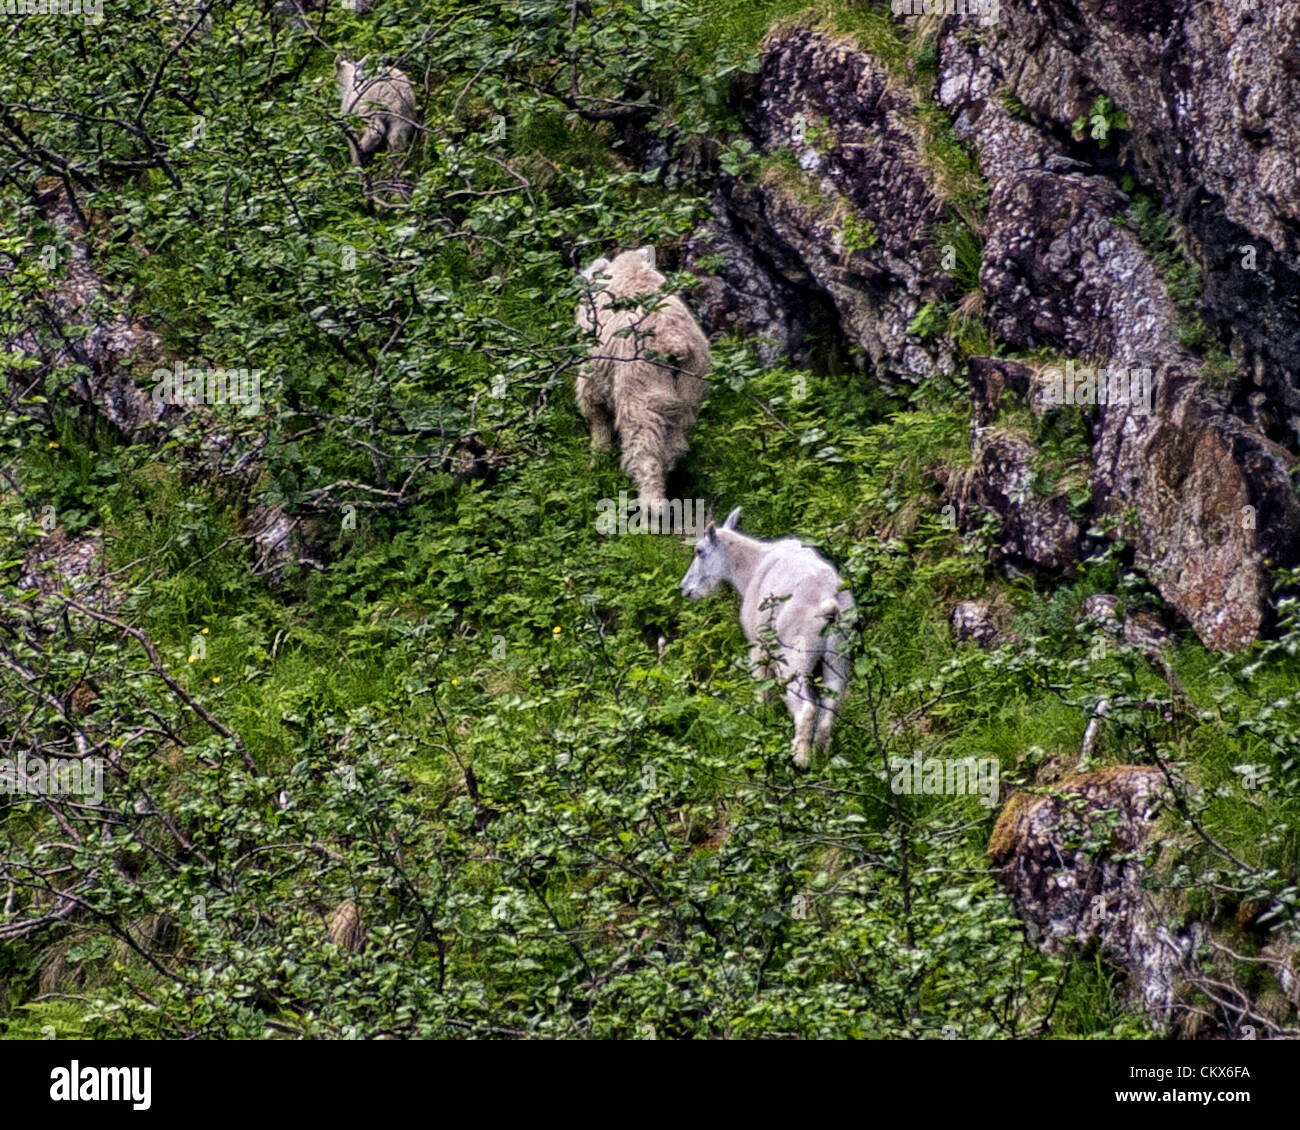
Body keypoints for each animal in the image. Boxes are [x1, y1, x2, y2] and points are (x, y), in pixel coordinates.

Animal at [680, 506, 854, 767]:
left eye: (699, 551)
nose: (684, 588)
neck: (754, 565)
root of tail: (830, 604)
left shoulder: (758, 642)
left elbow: (761, 686)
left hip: (794, 656)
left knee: (806, 707)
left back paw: (800, 760)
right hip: (837, 656)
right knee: (831, 705)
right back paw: (821, 756)